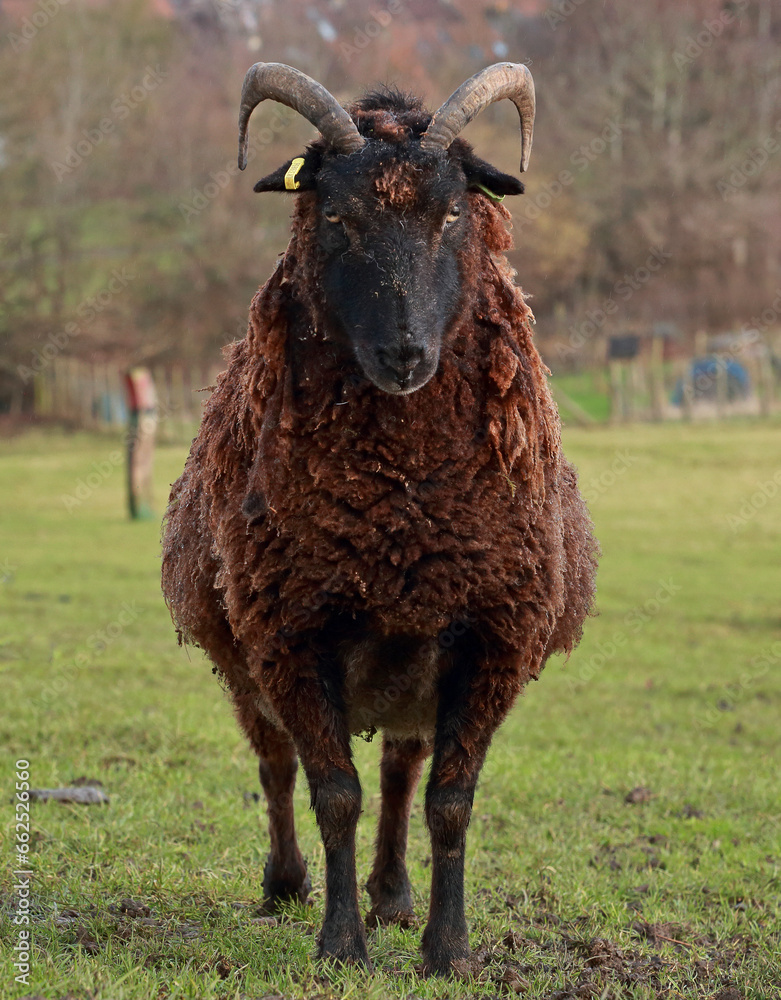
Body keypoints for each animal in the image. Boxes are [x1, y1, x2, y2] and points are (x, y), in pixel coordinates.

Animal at [161, 61, 598, 975]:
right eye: (335, 217)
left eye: (454, 212)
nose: (404, 354)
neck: (402, 512)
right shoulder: (291, 632)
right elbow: (332, 794)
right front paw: (338, 945)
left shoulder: (492, 634)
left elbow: (449, 802)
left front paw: (448, 948)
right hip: (241, 657)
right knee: (275, 766)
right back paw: (285, 884)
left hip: (413, 668)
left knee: (401, 773)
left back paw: (393, 895)